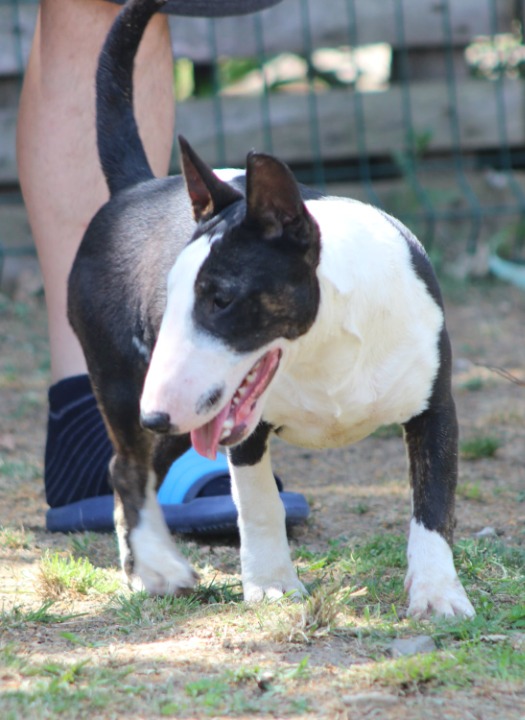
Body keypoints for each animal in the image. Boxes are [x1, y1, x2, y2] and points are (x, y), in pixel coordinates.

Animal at [67, 0, 472, 620]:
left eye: (222, 298)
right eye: (171, 296)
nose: (155, 412)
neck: (324, 345)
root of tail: (135, 187)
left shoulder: (436, 406)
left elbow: (433, 503)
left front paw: (437, 593)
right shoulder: (244, 430)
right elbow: (258, 505)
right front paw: (273, 585)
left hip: (181, 417)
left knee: (133, 468)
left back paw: (145, 565)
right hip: (125, 382)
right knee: (127, 468)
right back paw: (159, 569)